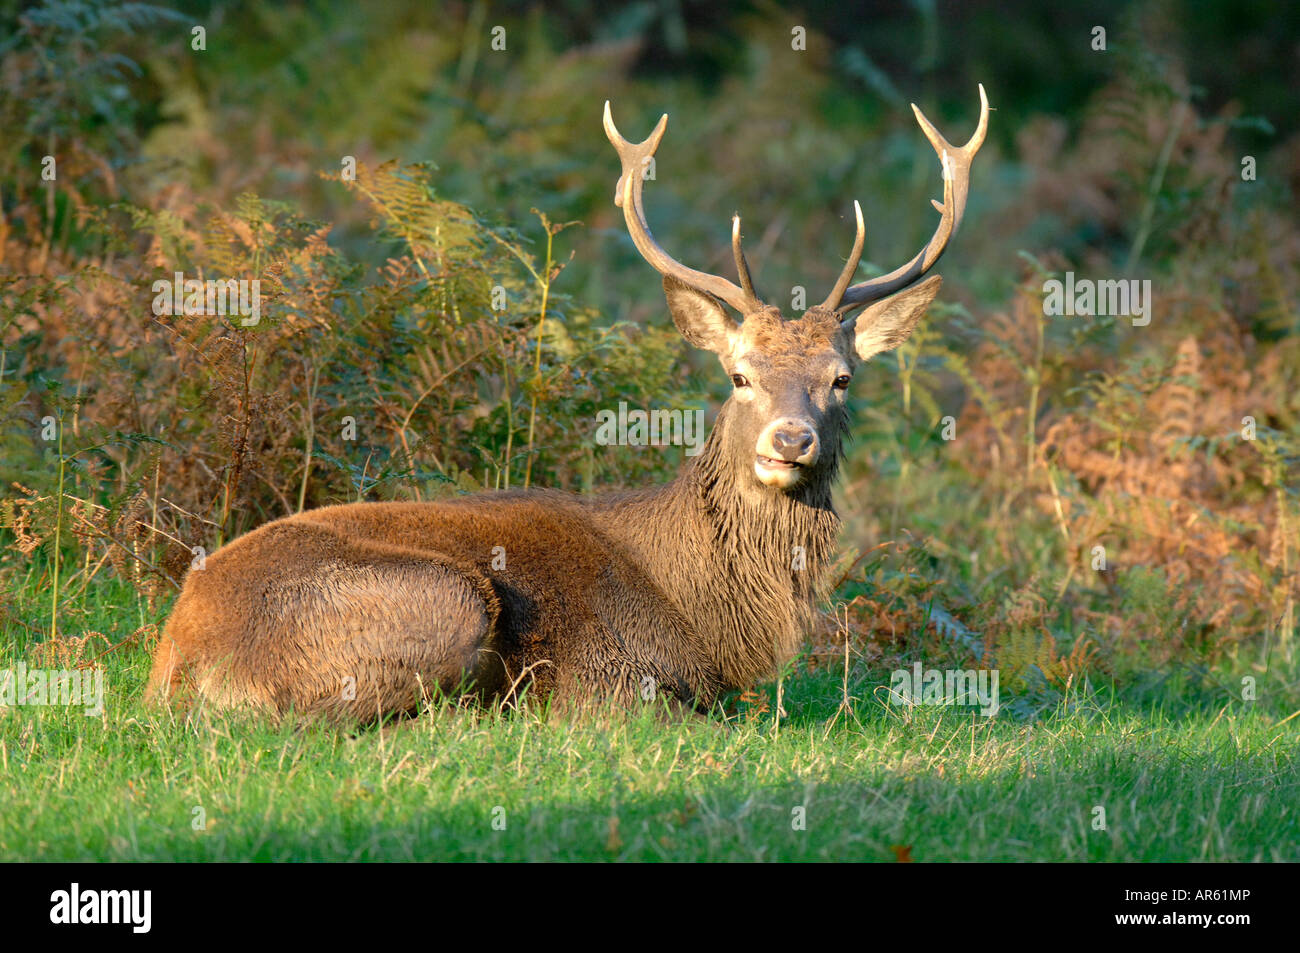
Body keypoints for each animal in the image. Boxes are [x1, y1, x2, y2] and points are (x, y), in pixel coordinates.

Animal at [147, 87, 988, 723]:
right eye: (739, 375)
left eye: (841, 378)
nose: (789, 440)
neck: (714, 621)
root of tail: (178, 659)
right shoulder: (613, 676)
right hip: (443, 596)